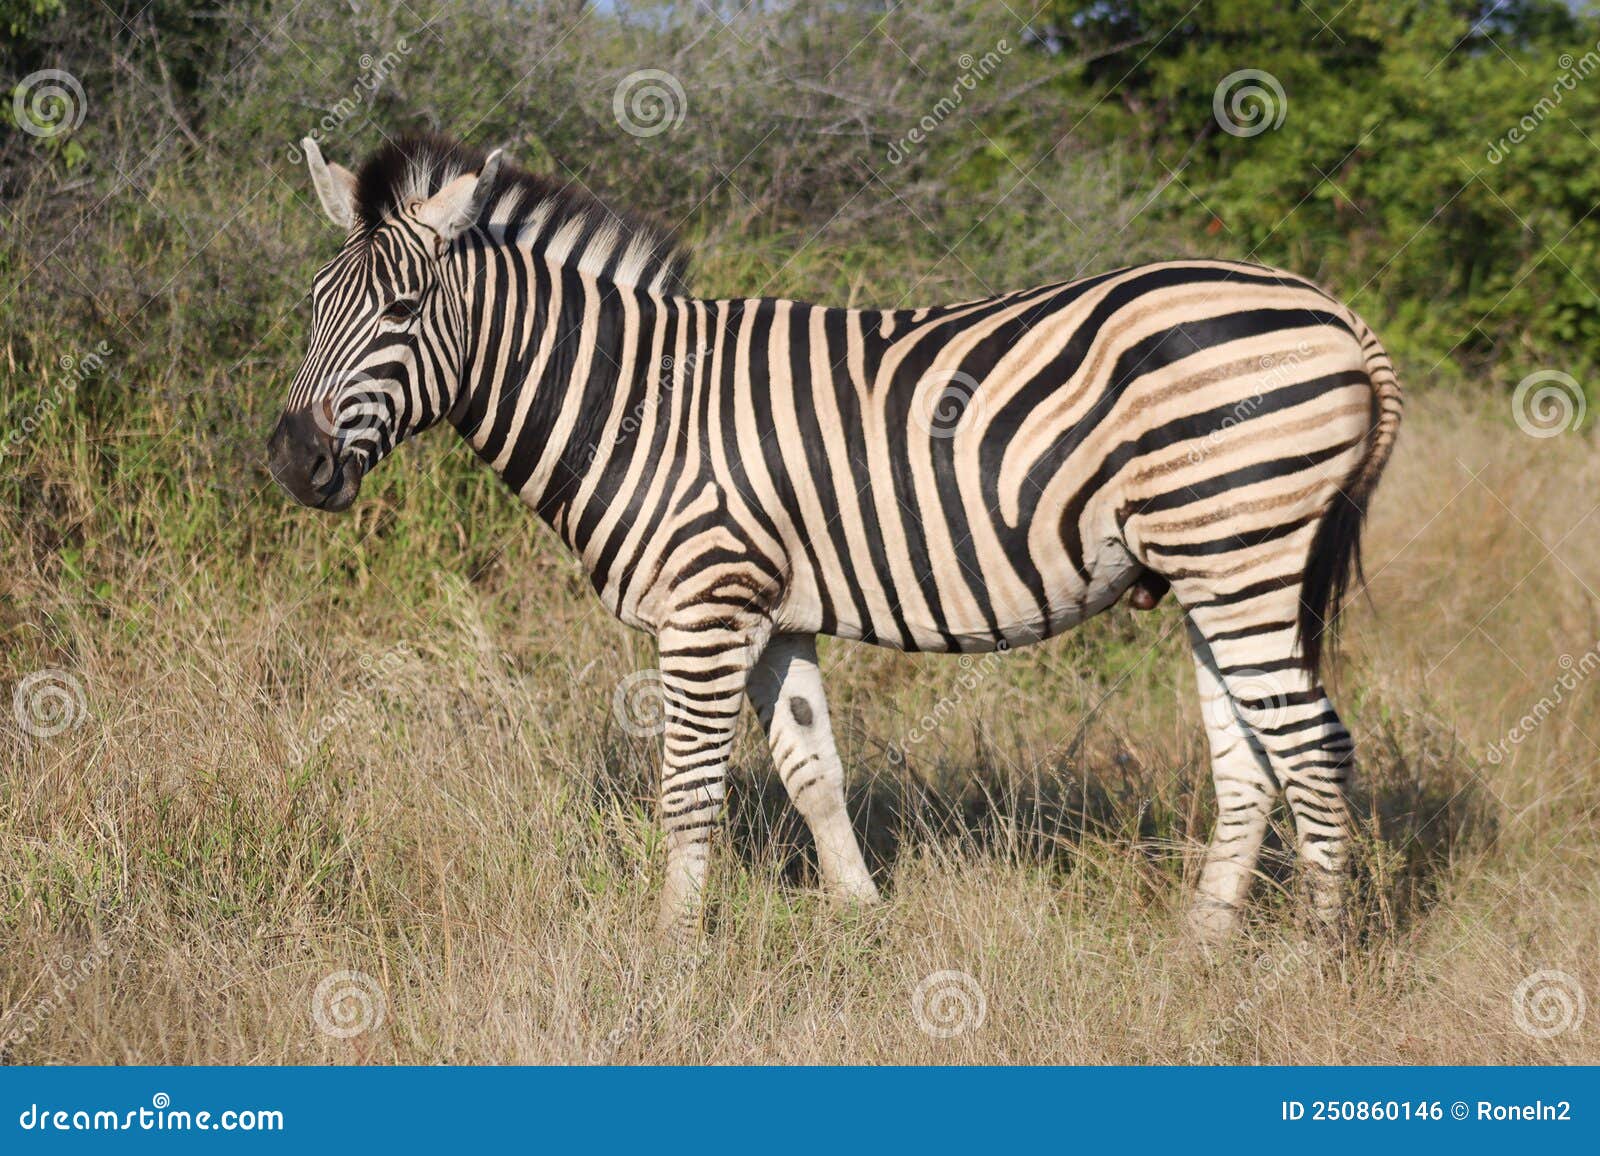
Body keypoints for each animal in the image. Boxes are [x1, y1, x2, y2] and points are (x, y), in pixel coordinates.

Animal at [269, 134, 1401, 941]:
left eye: (404, 309)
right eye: (313, 304)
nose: (289, 459)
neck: (638, 403)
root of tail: (1335, 309)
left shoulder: (706, 605)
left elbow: (688, 792)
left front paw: (670, 956)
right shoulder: (773, 613)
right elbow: (814, 773)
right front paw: (862, 923)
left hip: (1244, 550)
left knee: (1311, 743)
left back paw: (1312, 958)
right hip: (1212, 565)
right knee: (1251, 753)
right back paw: (1202, 945)